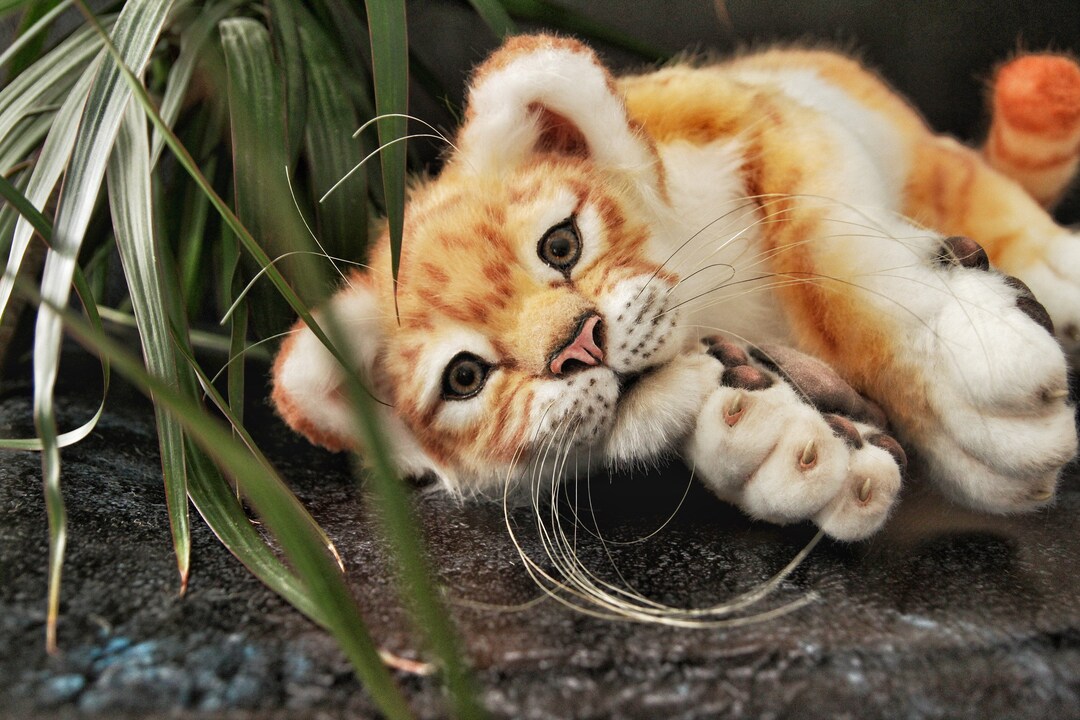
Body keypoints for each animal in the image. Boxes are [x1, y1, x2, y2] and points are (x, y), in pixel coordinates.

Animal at [271, 35, 1080, 541]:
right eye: (464, 377)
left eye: (560, 245)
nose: (577, 348)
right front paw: (787, 450)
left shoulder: (758, 117)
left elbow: (829, 252)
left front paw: (967, 387)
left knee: (972, 182)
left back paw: (1059, 270)